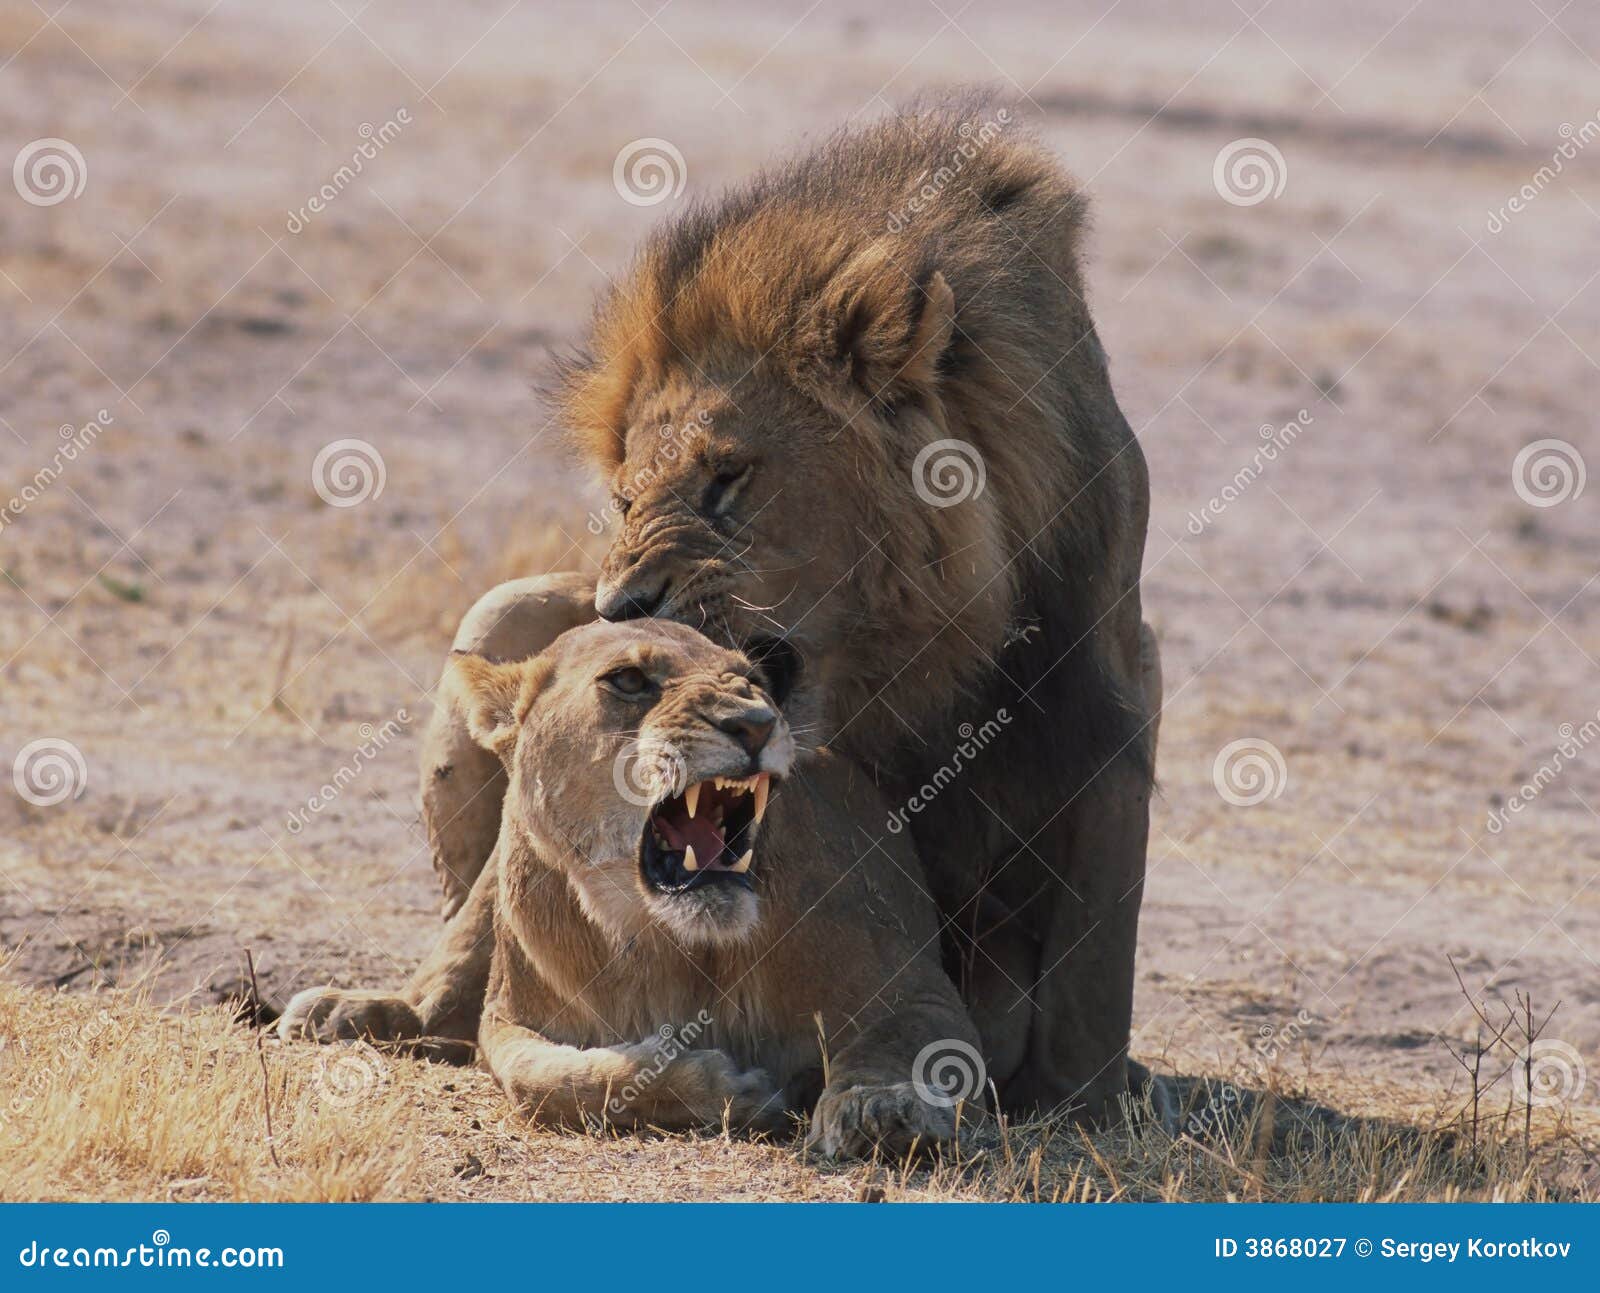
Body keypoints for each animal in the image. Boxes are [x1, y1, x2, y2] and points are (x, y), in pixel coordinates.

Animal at [285, 619, 982, 1157]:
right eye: (628, 680)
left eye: (753, 684)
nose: (757, 724)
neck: (663, 941)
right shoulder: (507, 1020)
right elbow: (544, 1081)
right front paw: (726, 1089)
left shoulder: (912, 988)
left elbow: (905, 1043)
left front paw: (879, 1106)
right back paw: (343, 1011)